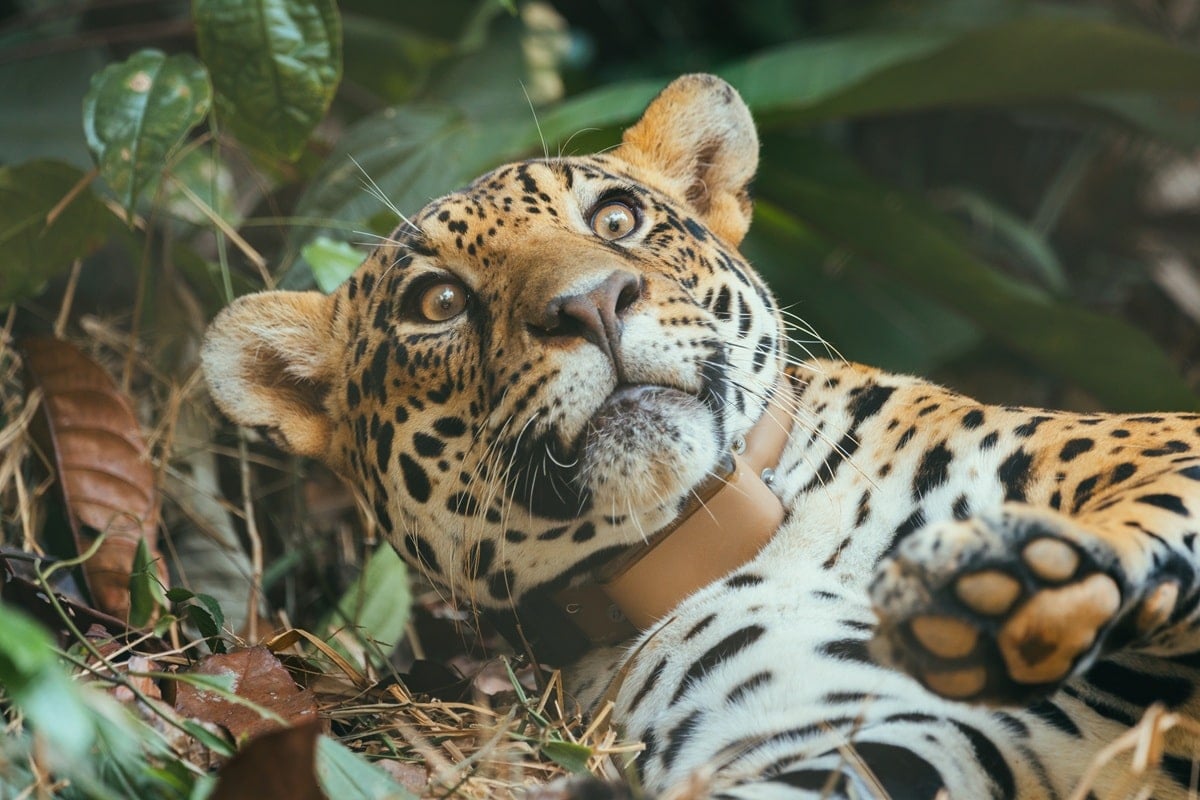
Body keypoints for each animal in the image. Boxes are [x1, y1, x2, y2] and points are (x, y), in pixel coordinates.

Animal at [201, 74, 1200, 798]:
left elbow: (1153, 495)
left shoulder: (1155, 441)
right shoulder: (854, 737)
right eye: (437, 302)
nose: (591, 304)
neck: (754, 534)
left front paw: (1025, 586)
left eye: (616, 219)